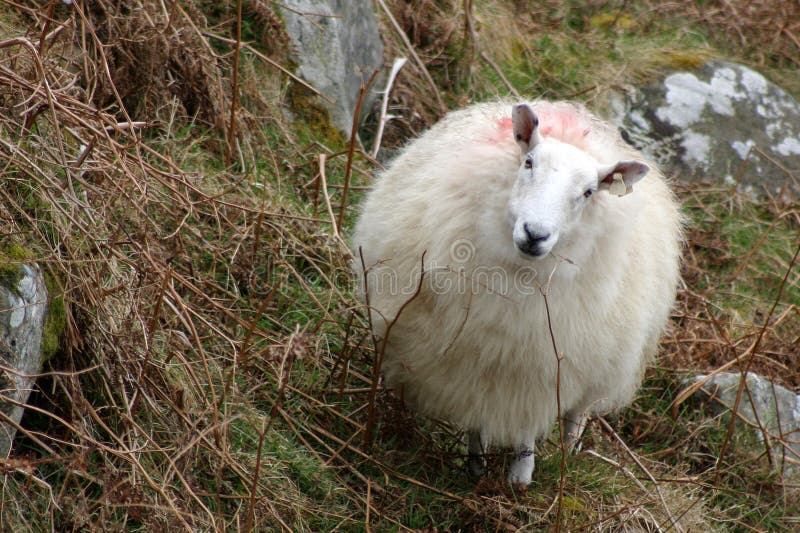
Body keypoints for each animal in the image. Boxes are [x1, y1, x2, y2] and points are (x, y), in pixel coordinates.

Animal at [352, 100, 682, 485]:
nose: (535, 233)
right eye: (528, 163)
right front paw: (477, 469)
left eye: (588, 192)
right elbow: (477, 417)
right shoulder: (471, 362)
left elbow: (526, 429)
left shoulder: (538, 367)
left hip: (602, 363)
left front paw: (519, 480)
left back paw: (568, 456)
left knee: (577, 415)